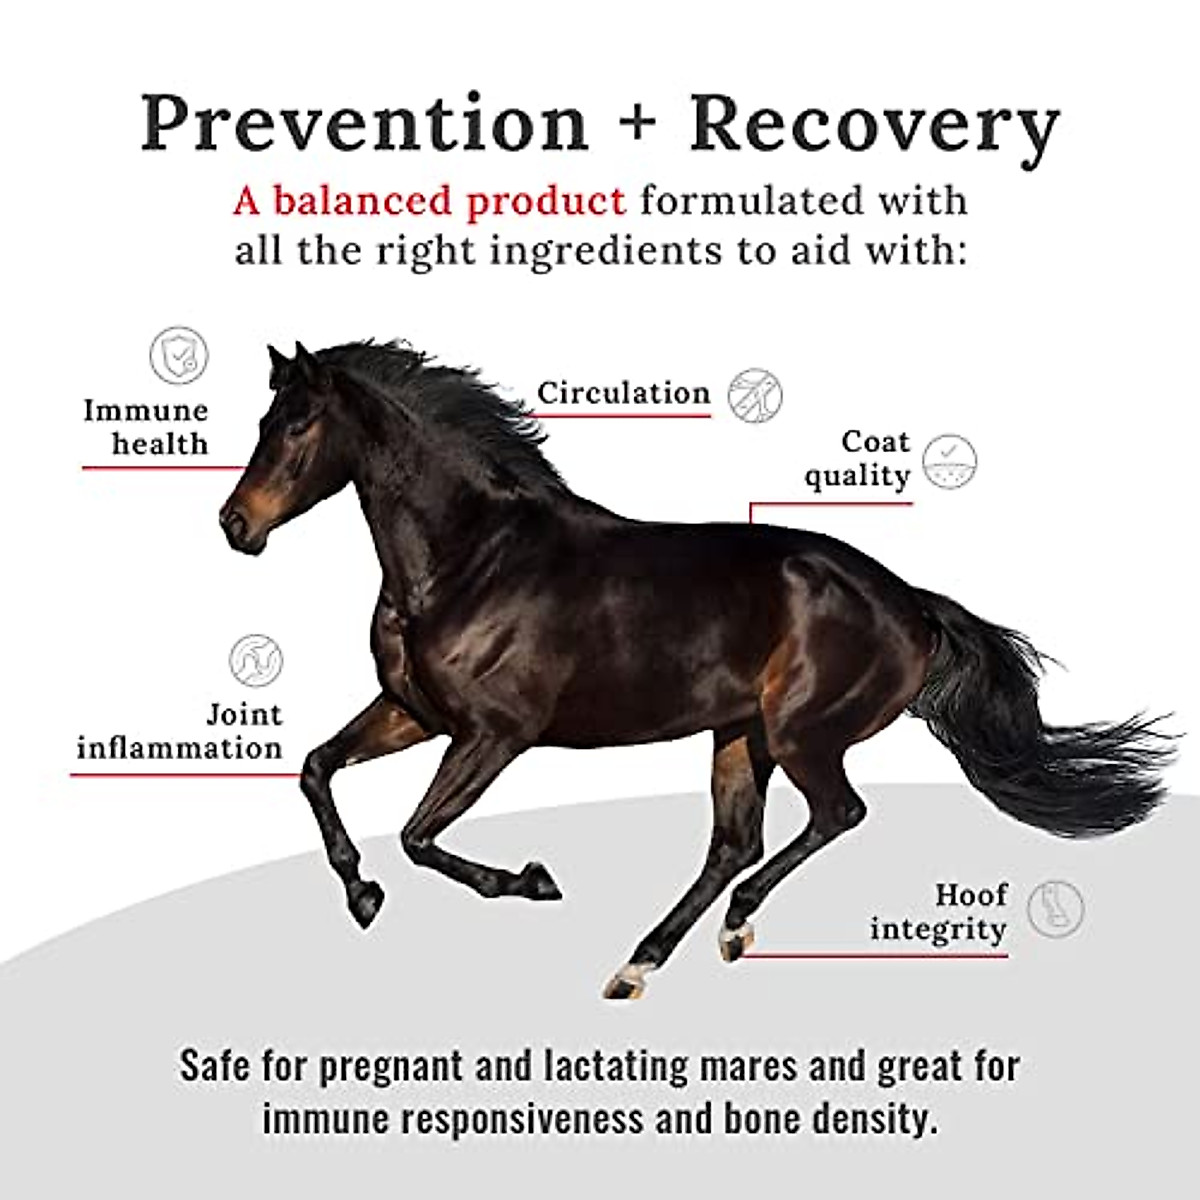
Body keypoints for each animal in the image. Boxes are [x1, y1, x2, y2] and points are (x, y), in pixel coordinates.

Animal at [219, 340, 1174, 999]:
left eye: (297, 425)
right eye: (263, 422)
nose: (235, 524)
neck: (471, 559)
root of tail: (909, 602)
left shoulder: (495, 734)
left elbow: (420, 837)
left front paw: (529, 881)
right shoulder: (413, 712)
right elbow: (316, 769)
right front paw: (360, 893)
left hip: (800, 734)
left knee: (834, 816)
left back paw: (730, 927)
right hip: (738, 732)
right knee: (734, 842)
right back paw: (642, 963)